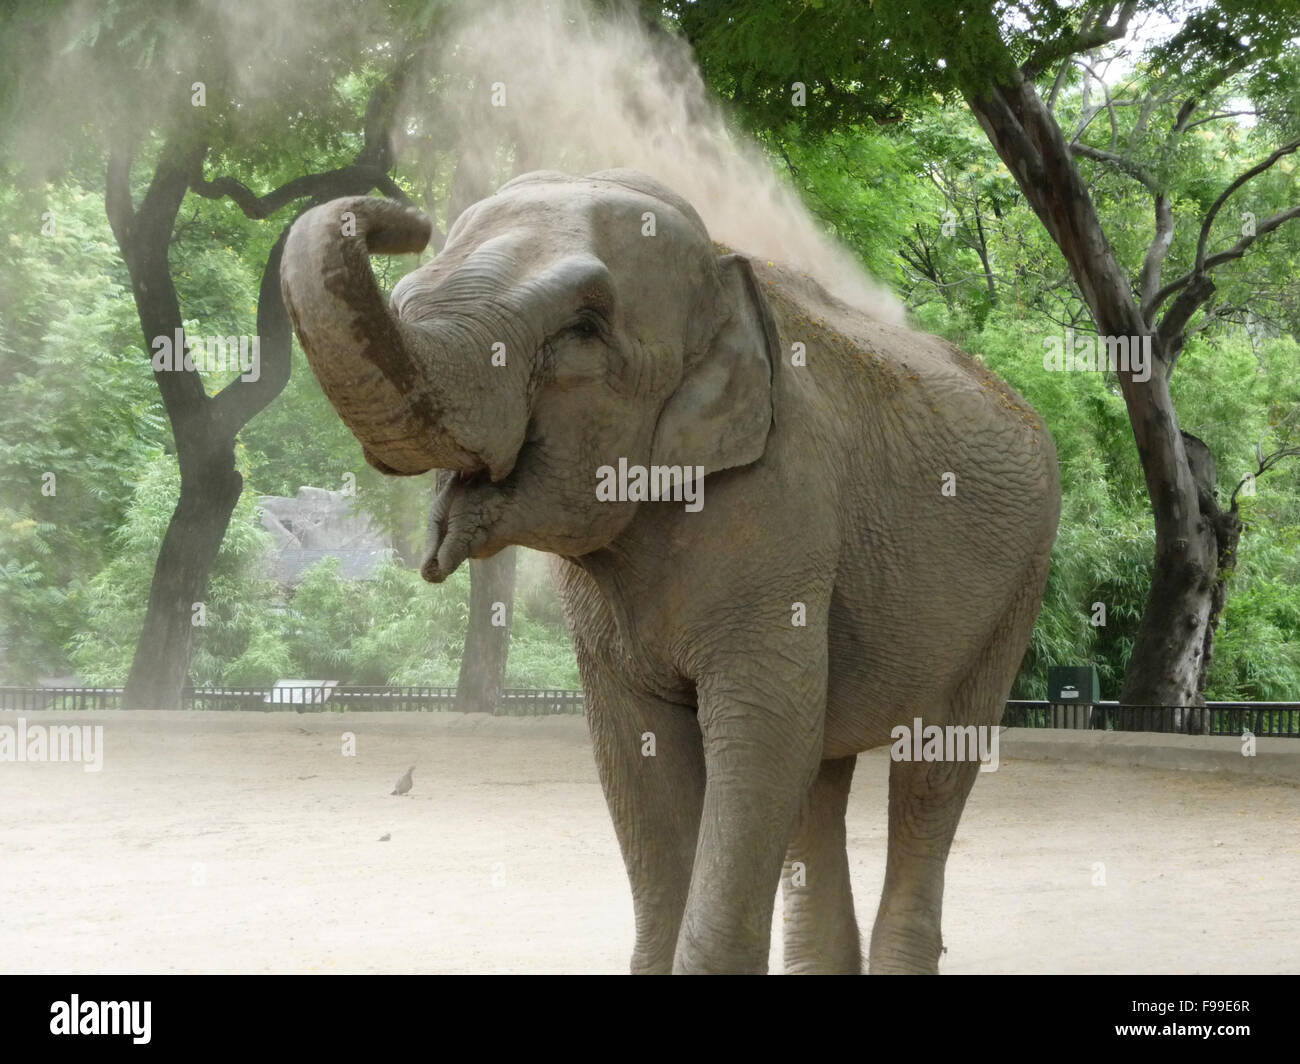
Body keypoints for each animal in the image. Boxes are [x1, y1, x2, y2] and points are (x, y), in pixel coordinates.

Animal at [280, 169, 1060, 974]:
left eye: (584, 328)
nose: (409, 221)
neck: (722, 268)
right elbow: (638, 755)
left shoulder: (782, 519)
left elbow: (760, 740)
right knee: (820, 774)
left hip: (1019, 586)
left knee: (931, 770)